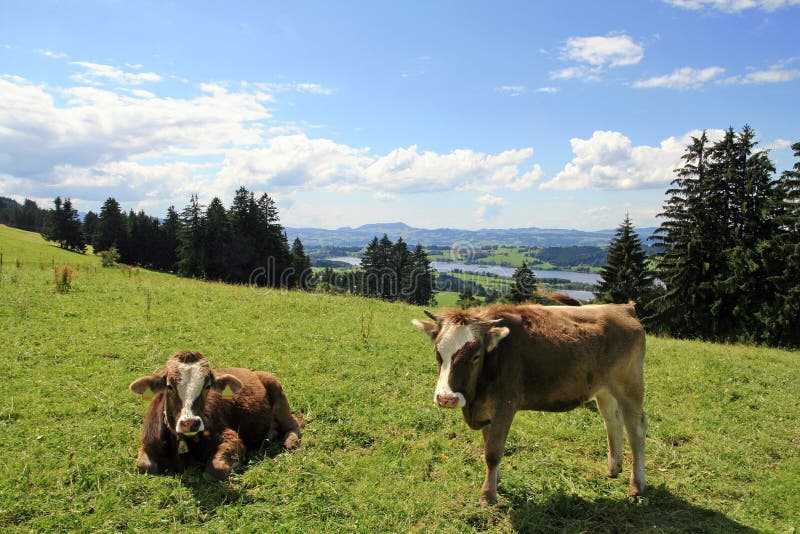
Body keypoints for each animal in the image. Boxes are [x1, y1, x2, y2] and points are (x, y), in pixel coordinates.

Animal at [129, 350, 301, 479]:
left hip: (277, 390)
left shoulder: (231, 437)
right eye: (169, 386)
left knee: (294, 424)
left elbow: (216, 469)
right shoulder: (148, 443)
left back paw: (290, 441)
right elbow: (143, 466)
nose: (190, 423)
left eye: (207, 386)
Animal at [413, 303, 646, 504]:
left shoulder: (506, 405)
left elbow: (492, 452)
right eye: (438, 353)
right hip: (604, 390)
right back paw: (613, 468)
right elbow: (489, 445)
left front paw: (488, 495)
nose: (447, 398)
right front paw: (495, 481)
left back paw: (637, 485)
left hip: (630, 387)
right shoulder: (487, 410)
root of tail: (621, 308)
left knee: (636, 432)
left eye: (476, 356)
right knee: (612, 422)